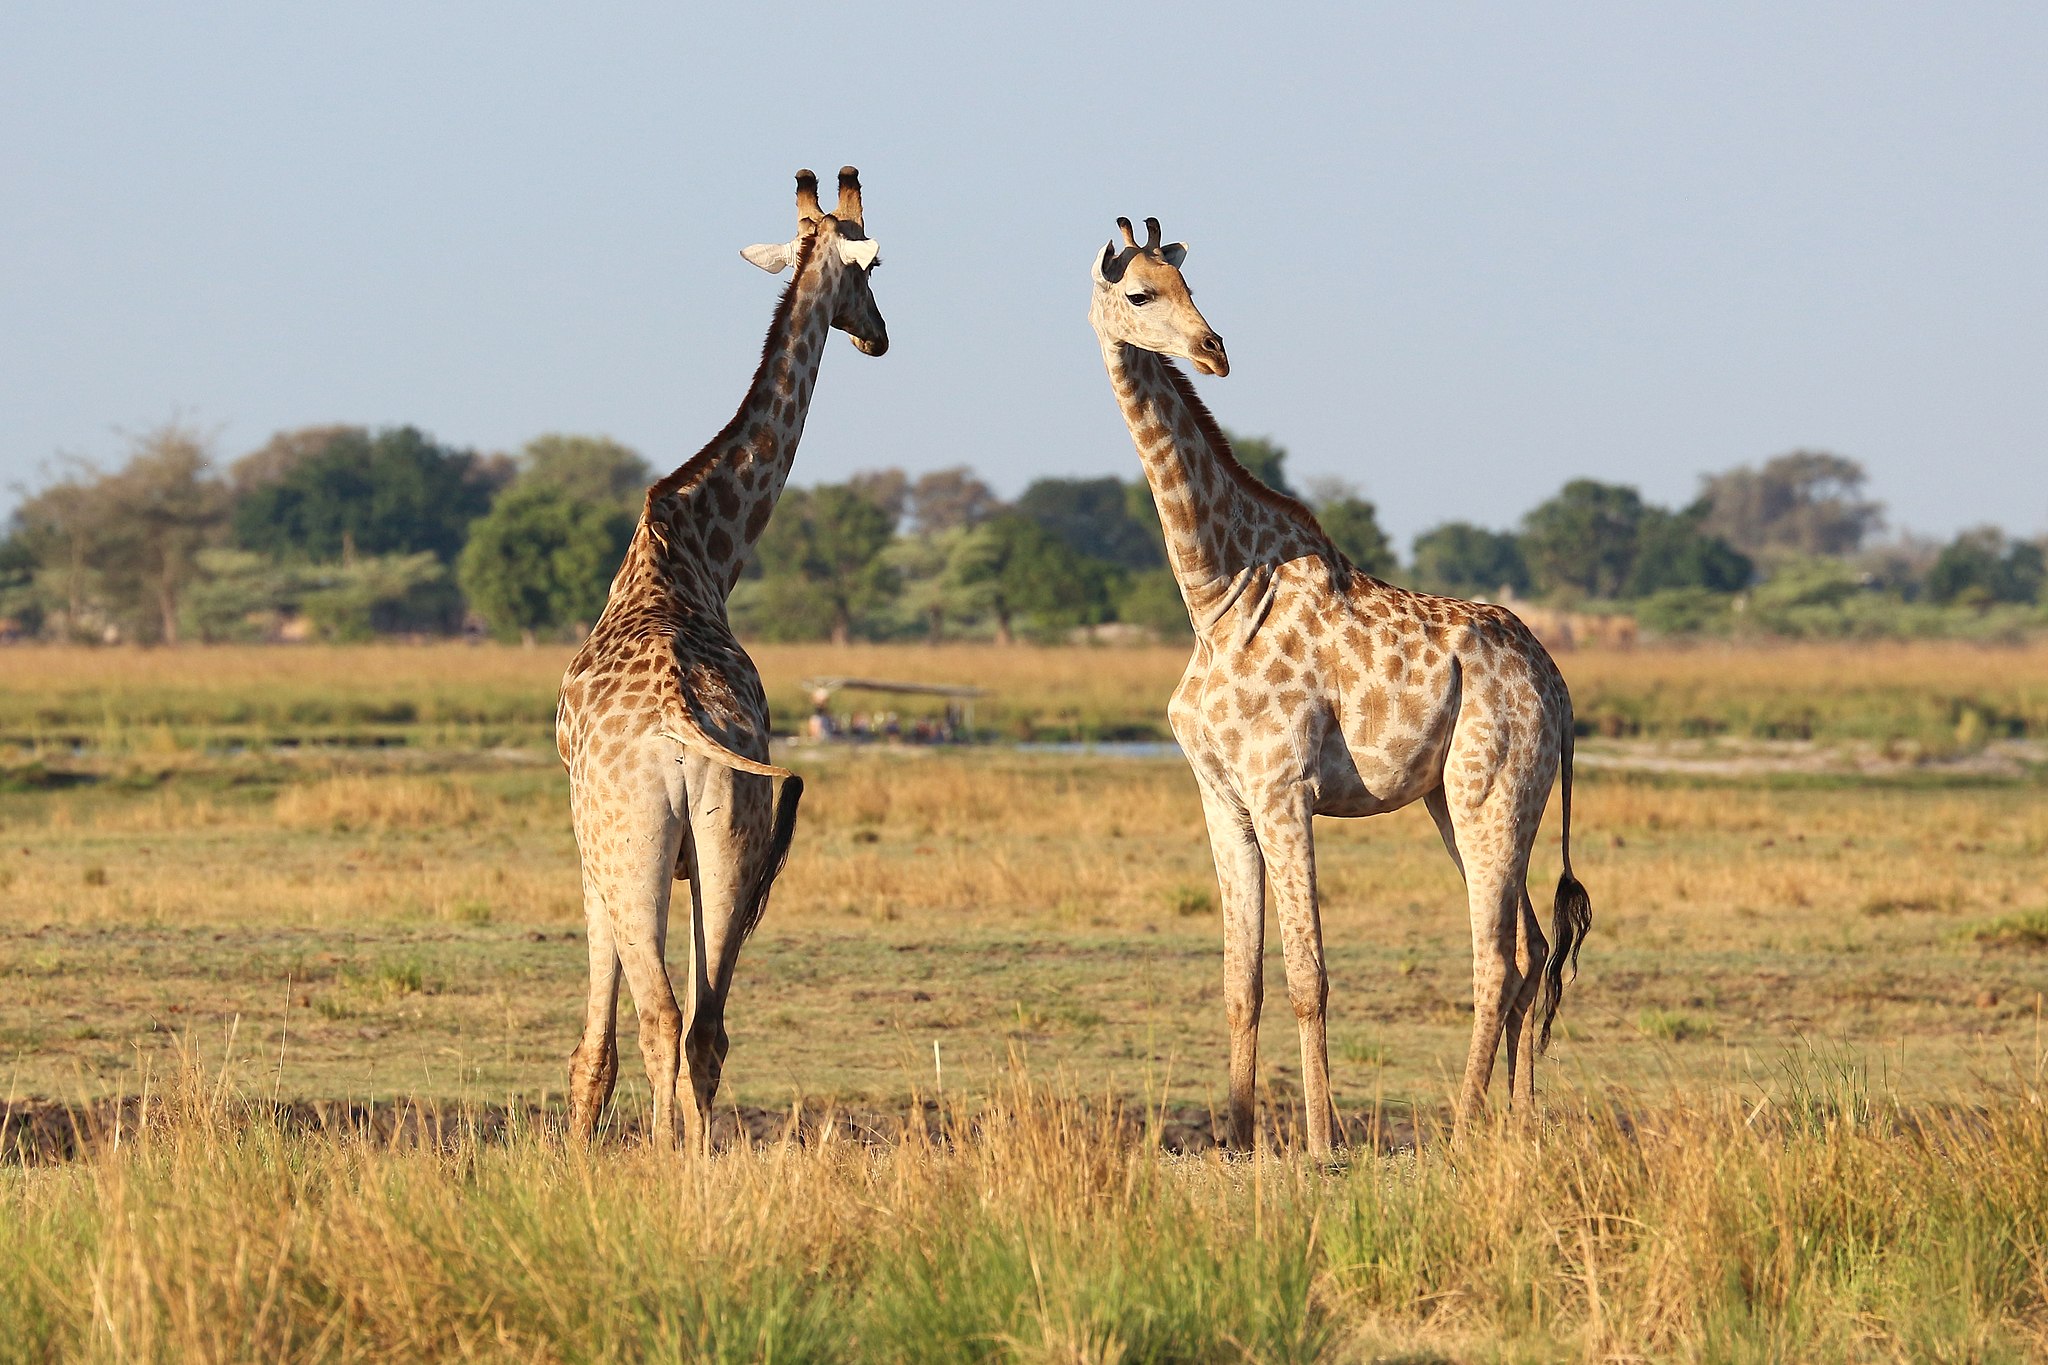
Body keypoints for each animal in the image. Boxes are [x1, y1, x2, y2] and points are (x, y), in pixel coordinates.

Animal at [555, 168, 887, 1150]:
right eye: (868, 273)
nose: (879, 333)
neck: (696, 548)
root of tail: (678, 726)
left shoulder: (589, 849)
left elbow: (593, 1048)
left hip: (632, 844)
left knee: (663, 1016)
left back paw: (668, 1158)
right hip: (728, 834)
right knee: (707, 1025)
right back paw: (696, 1160)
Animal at [1088, 216, 1592, 1155]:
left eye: (1187, 284)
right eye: (1140, 292)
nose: (1214, 350)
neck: (1216, 594)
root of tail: (1559, 687)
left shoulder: (1285, 790)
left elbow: (1307, 973)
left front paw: (1323, 1140)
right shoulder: (1222, 797)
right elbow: (1240, 977)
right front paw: (1237, 1135)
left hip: (1491, 792)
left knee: (1500, 955)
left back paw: (1463, 1126)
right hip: (1461, 800)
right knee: (1536, 948)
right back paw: (1516, 1125)